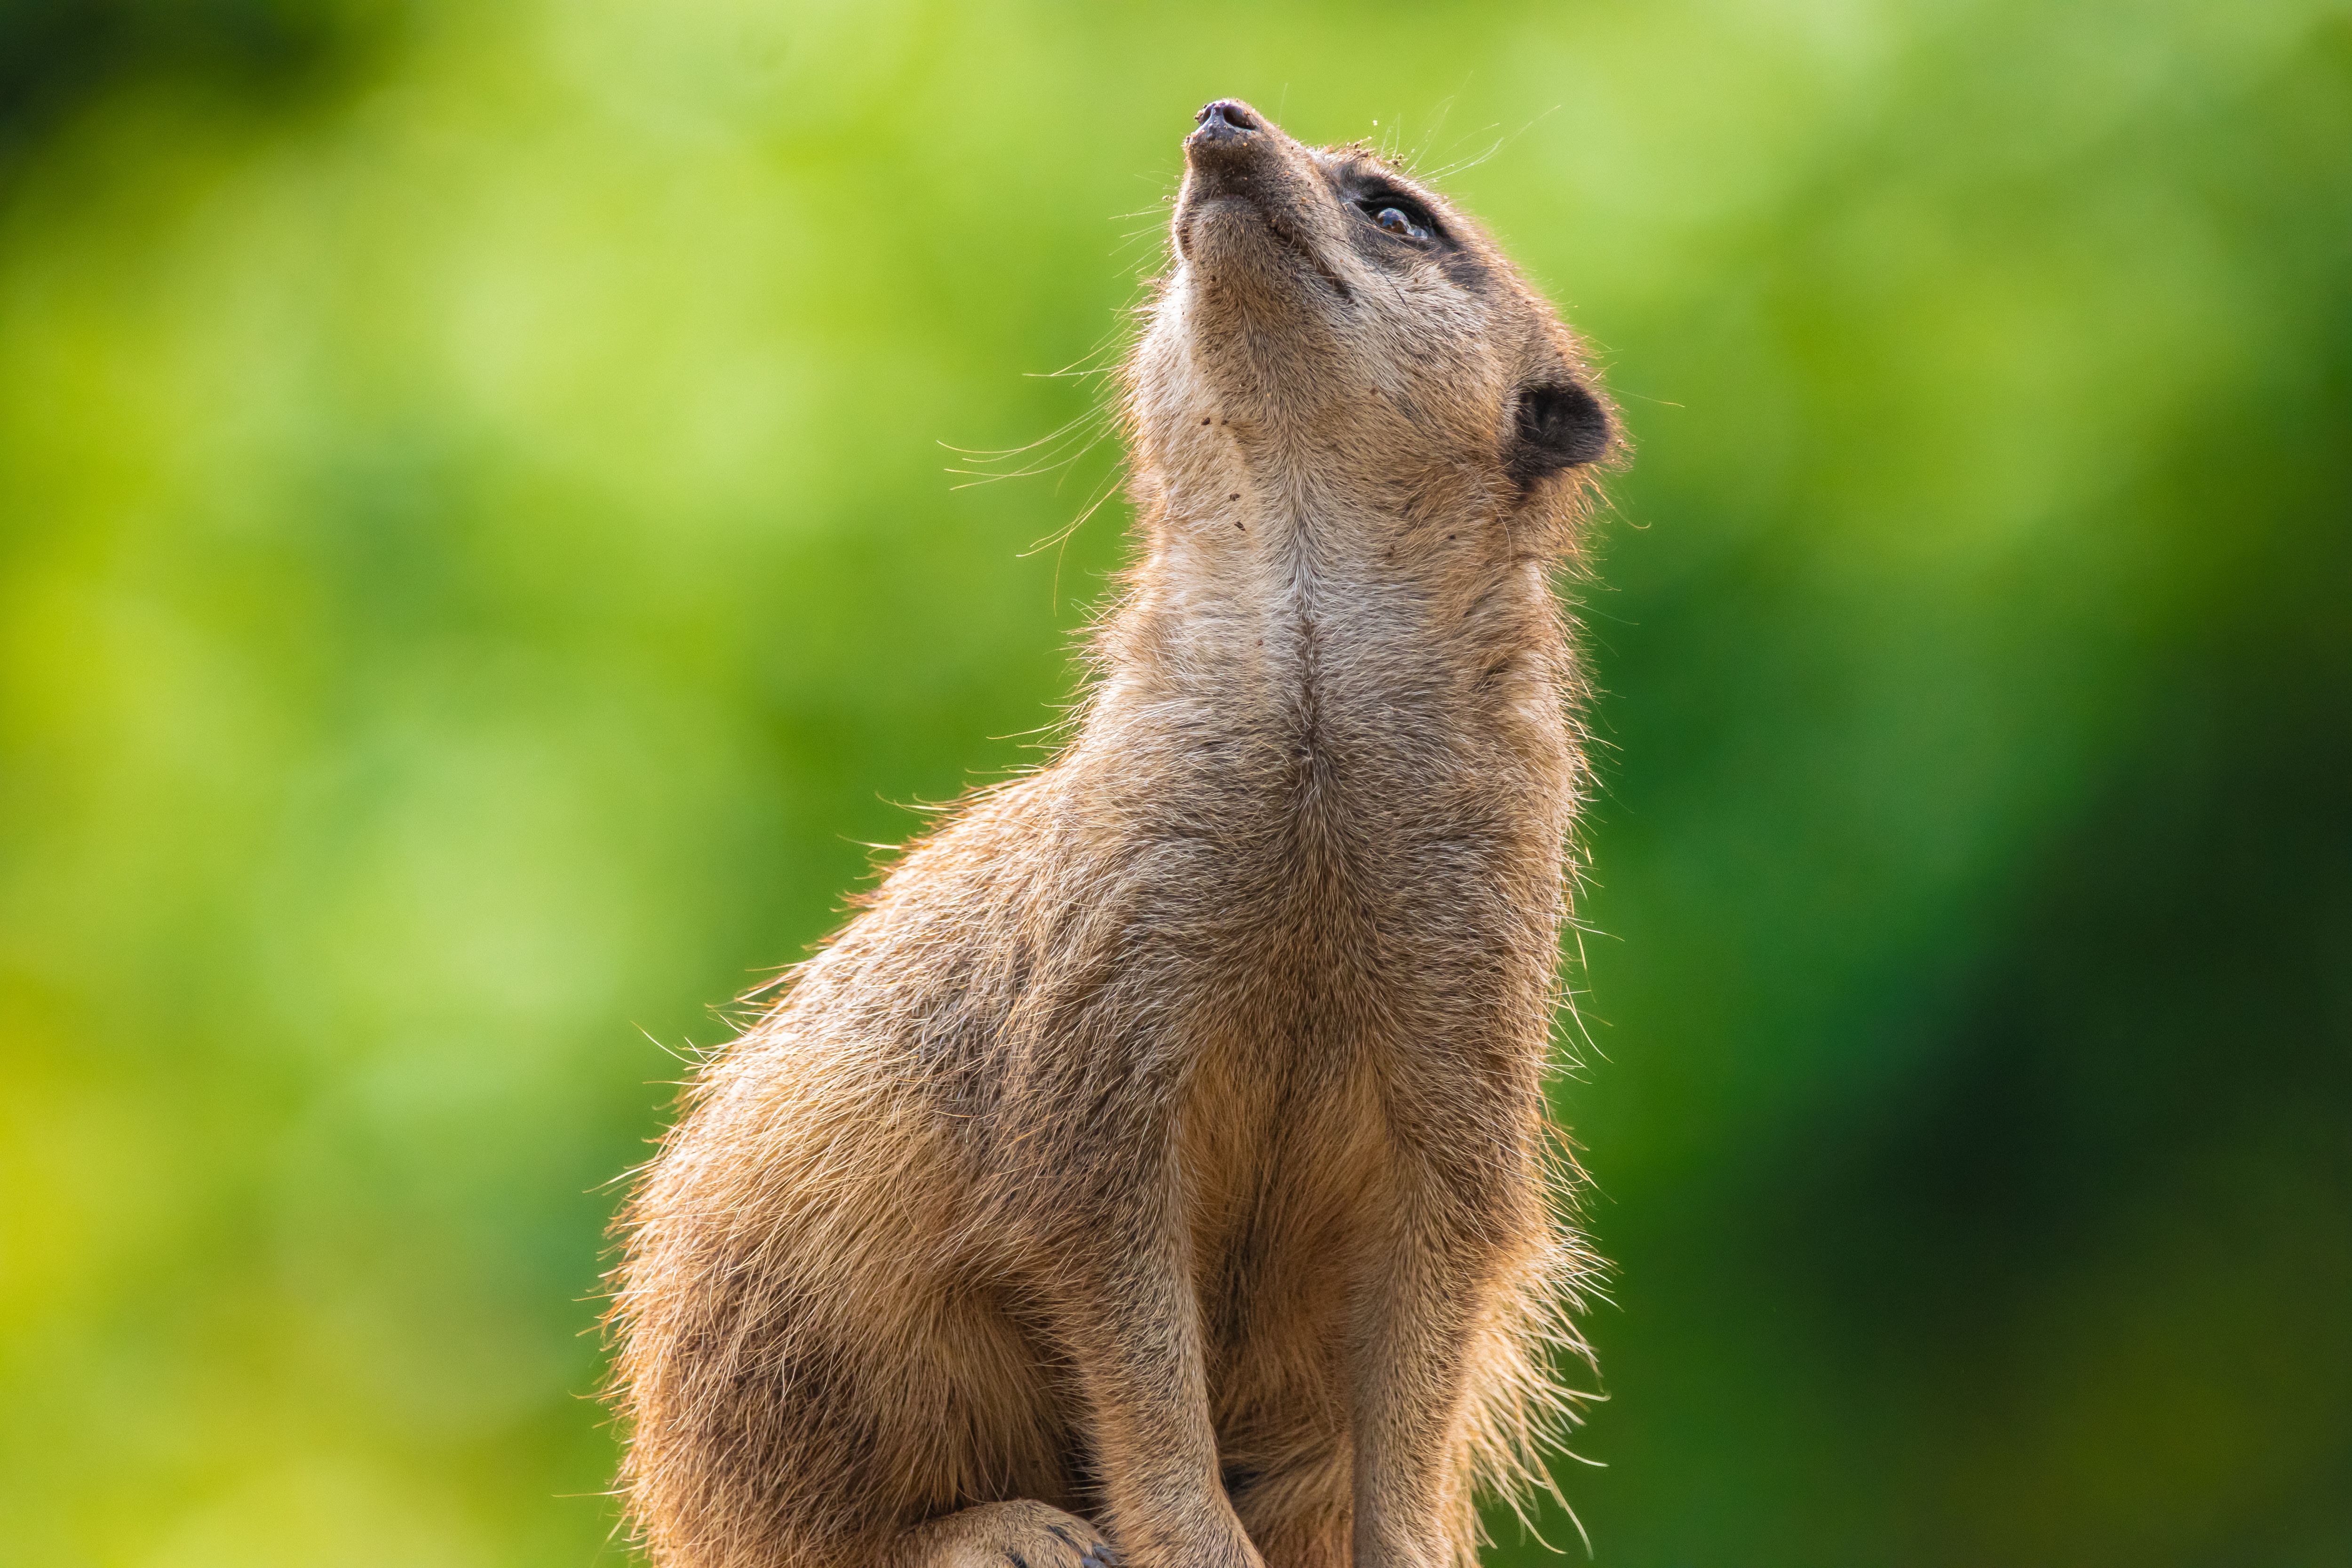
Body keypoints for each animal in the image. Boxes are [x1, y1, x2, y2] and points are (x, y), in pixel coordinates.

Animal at [608, 97, 1620, 1568]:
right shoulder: (1105, 989)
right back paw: (982, 1529)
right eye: (1166, 268)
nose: (1222, 124)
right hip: (773, 1257)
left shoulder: (1472, 1000)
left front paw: (1408, 1542)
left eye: (1395, 213)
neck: (1313, 742)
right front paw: (1193, 1536)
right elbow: (1111, 1280)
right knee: (788, 1509)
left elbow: (1430, 1305)